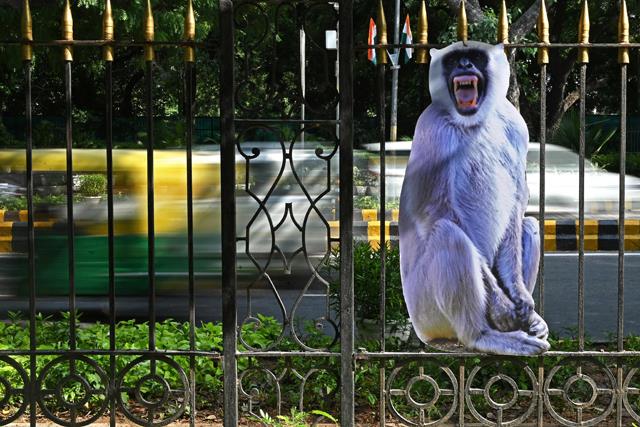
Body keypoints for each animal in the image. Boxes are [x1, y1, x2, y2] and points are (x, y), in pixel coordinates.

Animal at [399, 41, 549, 356]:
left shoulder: (516, 125)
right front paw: (503, 307)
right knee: (448, 233)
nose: (465, 65)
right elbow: (430, 211)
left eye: (476, 58)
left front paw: (519, 297)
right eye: (455, 59)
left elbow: (517, 205)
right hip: (425, 310)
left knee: (529, 225)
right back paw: (482, 335)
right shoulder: (432, 127)